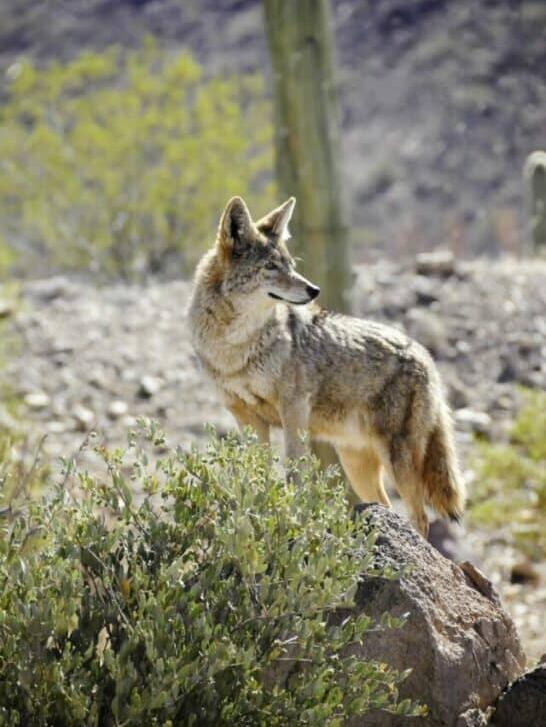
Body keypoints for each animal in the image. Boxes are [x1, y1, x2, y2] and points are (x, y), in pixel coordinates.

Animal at [188, 195, 465, 536]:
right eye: (270, 267)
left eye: (291, 265)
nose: (314, 290)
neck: (235, 348)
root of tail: (424, 354)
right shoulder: (246, 417)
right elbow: (256, 476)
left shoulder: (293, 411)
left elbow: (293, 473)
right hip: (356, 465)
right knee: (387, 506)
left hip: (396, 458)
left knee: (419, 516)